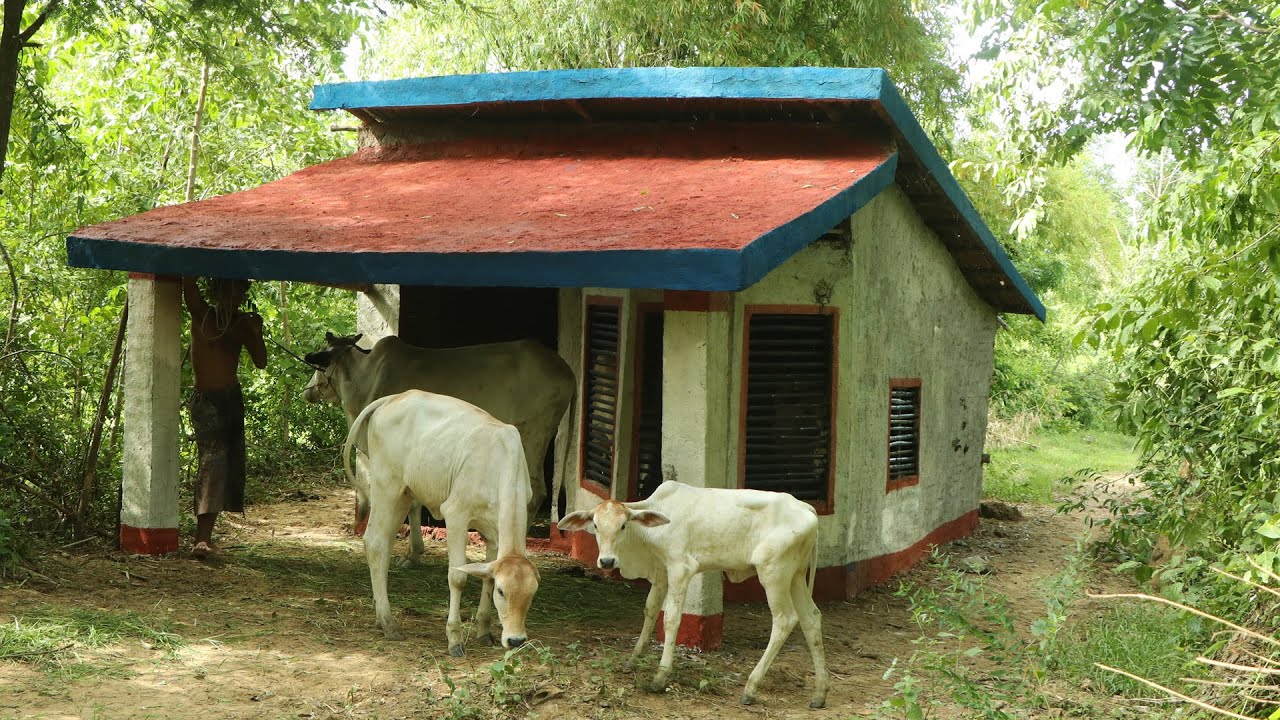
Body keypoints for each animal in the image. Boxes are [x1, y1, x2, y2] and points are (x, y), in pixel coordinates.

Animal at [344, 389, 540, 655]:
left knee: (384, 544)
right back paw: (387, 622)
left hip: (404, 494)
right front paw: (454, 639)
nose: (516, 640)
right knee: (375, 543)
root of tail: (395, 396)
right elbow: (458, 577)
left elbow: (486, 576)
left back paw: (379, 614)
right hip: (387, 487)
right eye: (502, 591)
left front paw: (484, 631)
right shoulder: (456, 514)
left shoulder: (494, 534)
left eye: (532, 593)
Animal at [557, 482, 829, 709]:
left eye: (623, 525)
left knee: (785, 620)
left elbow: (671, 618)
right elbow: (650, 609)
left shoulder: (680, 569)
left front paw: (660, 676)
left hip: (773, 574)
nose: (607, 561)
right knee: (811, 619)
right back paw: (819, 694)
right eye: (595, 525)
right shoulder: (661, 571)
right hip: (795, 577)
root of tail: (806, 508)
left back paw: (751, 688)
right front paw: (633, 659)